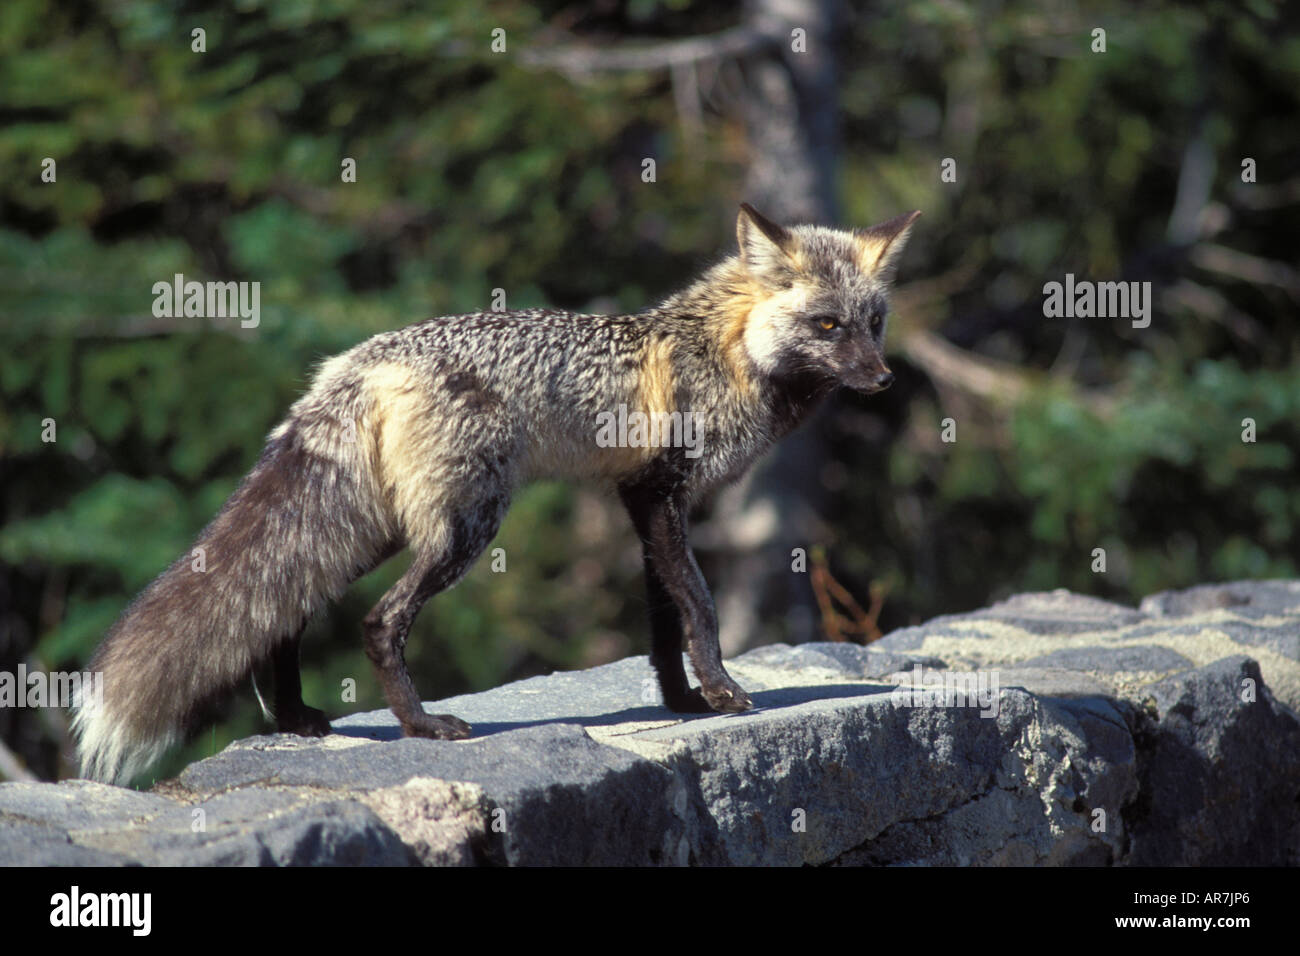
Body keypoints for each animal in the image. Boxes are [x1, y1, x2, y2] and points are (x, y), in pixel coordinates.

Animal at [73, 202, 920, 785]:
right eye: (828, 325)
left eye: (875, 323)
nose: (884, 380)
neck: (723, 351)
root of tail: (358, 361)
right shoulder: (661, 493)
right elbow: (702, 607)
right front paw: (722, 693)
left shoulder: (645, 501)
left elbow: (664, 618)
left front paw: (682, 703)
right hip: (464, 527)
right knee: (378, 622)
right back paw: (420, 727)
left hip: (383, 526)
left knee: (284, 609)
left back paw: (295, 716)